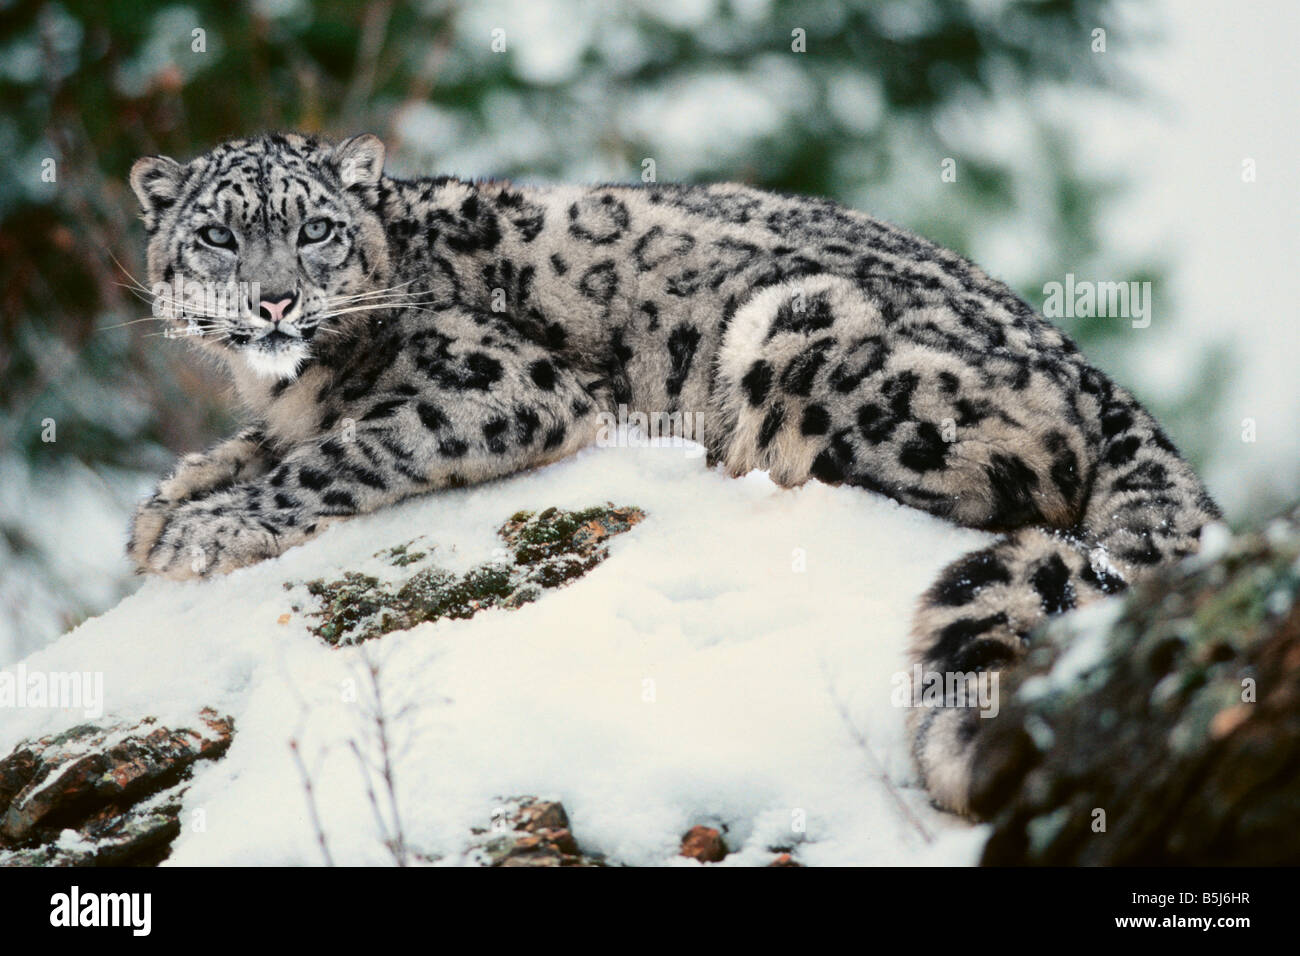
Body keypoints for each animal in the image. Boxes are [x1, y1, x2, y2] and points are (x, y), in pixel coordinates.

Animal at [126, 132, 1221, 817]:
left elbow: (348, 452)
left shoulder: (502, 385)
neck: (305, 377)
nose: (274, 302)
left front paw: (205, 530)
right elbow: (256, 445)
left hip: (803, 335)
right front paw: (163, 505)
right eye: (217, 234)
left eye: (313, 228)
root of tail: (1092, 369)